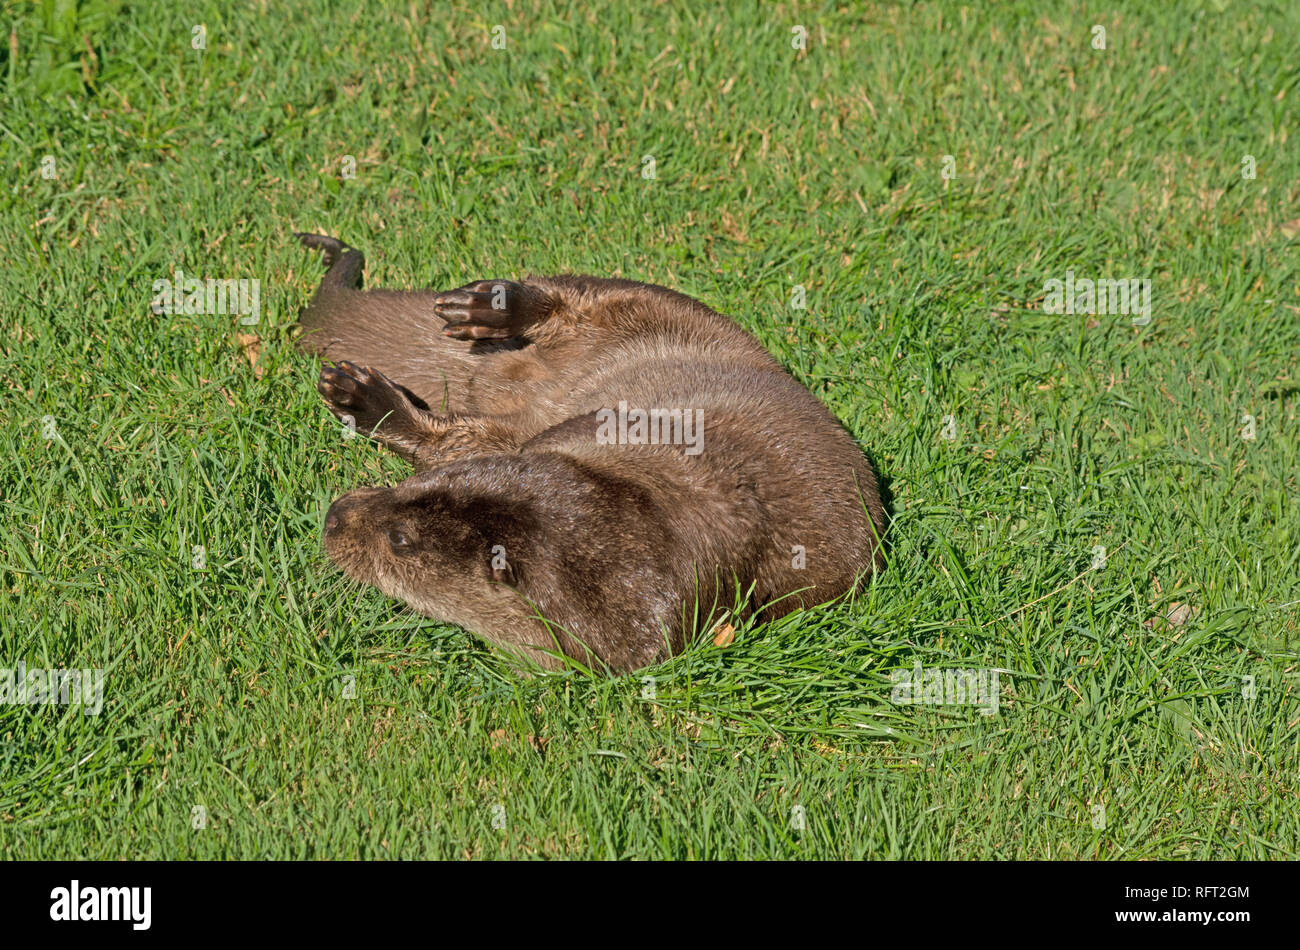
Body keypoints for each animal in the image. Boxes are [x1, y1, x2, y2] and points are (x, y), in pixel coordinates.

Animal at [296, 233, 886, 673]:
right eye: (413, 488)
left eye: (399, 540)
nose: (335, 514)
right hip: (676, 311)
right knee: (580, 301)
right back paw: (488, 308)